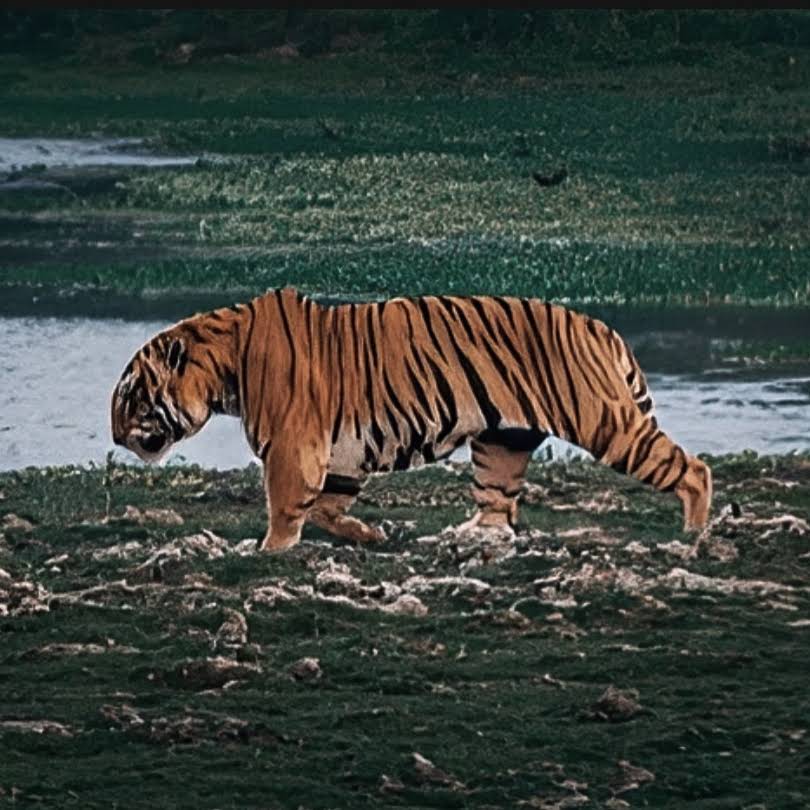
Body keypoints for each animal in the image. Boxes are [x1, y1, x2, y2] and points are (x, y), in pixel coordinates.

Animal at [111, 288, 712, 552]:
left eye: (132, 396)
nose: (115, 437)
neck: (225, 366)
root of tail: (601, 327)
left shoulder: (292, 446)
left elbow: (286, 507)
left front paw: (271, 552)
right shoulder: (336, 452)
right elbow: (327, 507)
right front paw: (367, 533)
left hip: (607, 426)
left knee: (693, 468)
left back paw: (696, 531)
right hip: (501, 442)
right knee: (497, 506)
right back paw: (466, 535)